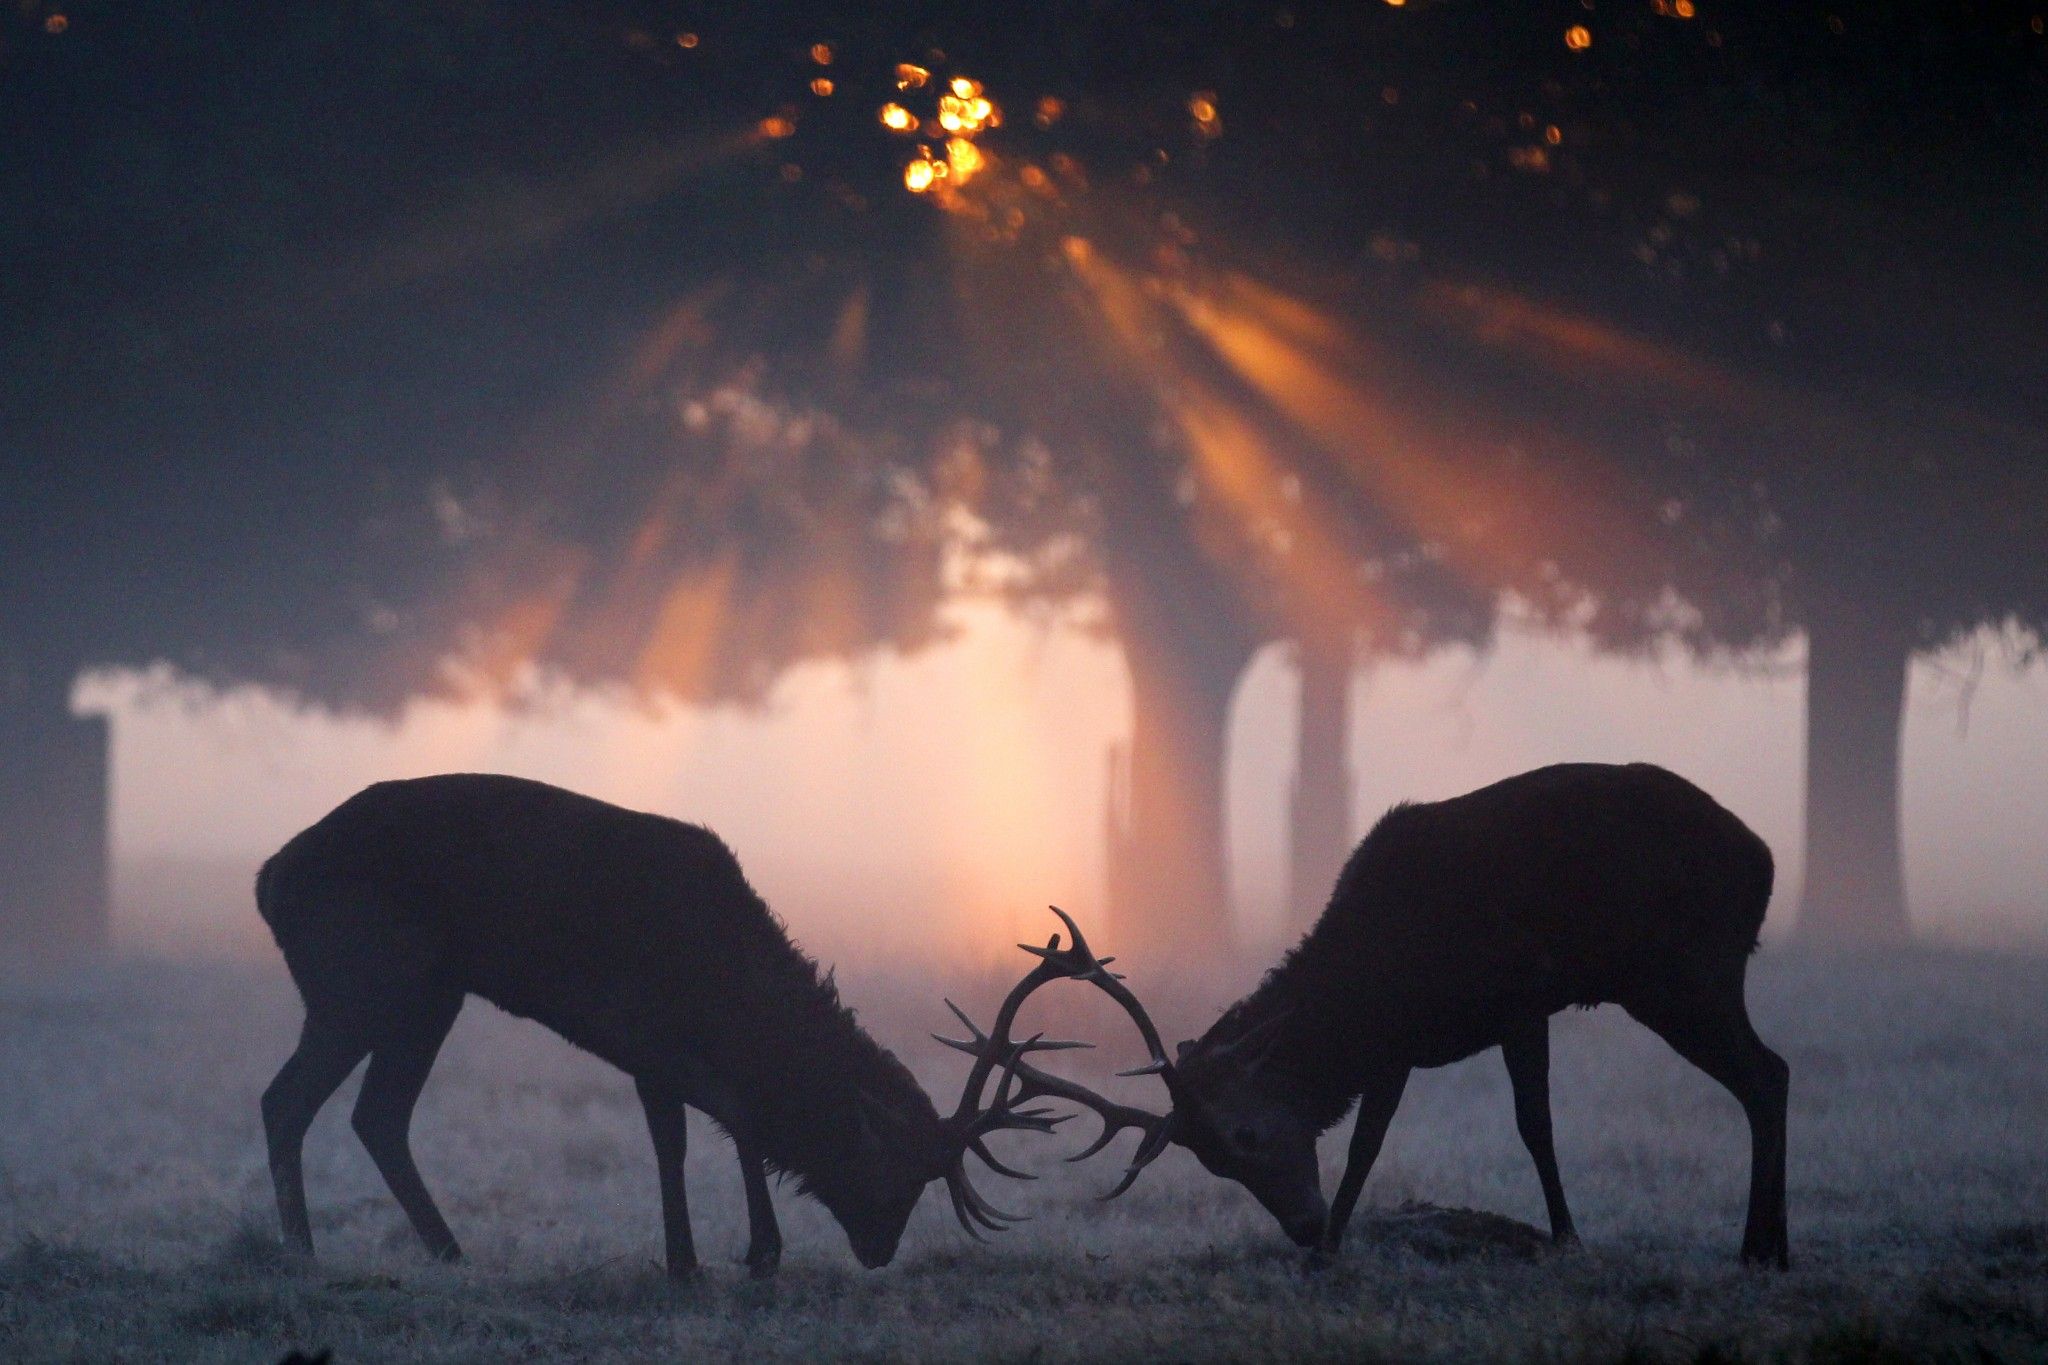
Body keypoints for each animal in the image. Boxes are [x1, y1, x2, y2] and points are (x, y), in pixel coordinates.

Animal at [256, 773, 1092, 1279]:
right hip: (362, 978)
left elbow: (703, 1130)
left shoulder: (655, 1050)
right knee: (286, 1100)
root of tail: (268, 881)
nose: (880, 1250)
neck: (725, 991)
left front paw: (704, 1257)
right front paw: (745, 1254)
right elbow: (715, 1127)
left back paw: (448, 1250)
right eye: (895, 1169)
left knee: (376, 1115)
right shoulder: (645, 1031)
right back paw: (302, 1253)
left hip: (429, 993)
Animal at [942, 764, 1792, 1269]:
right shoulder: (1435, 1034)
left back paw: (1764, 1248)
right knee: (1770, 1071)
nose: (1302, 1225)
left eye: (1248, 1134)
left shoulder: (1498, 1008)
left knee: (1767, 1072)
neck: (1374, 981)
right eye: (1214, 1163)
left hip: (1684, 973)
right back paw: (1766, 1245)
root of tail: (1765, 861)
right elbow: (1413, 1136)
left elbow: (1505, 1128)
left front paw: (1565, 1236)